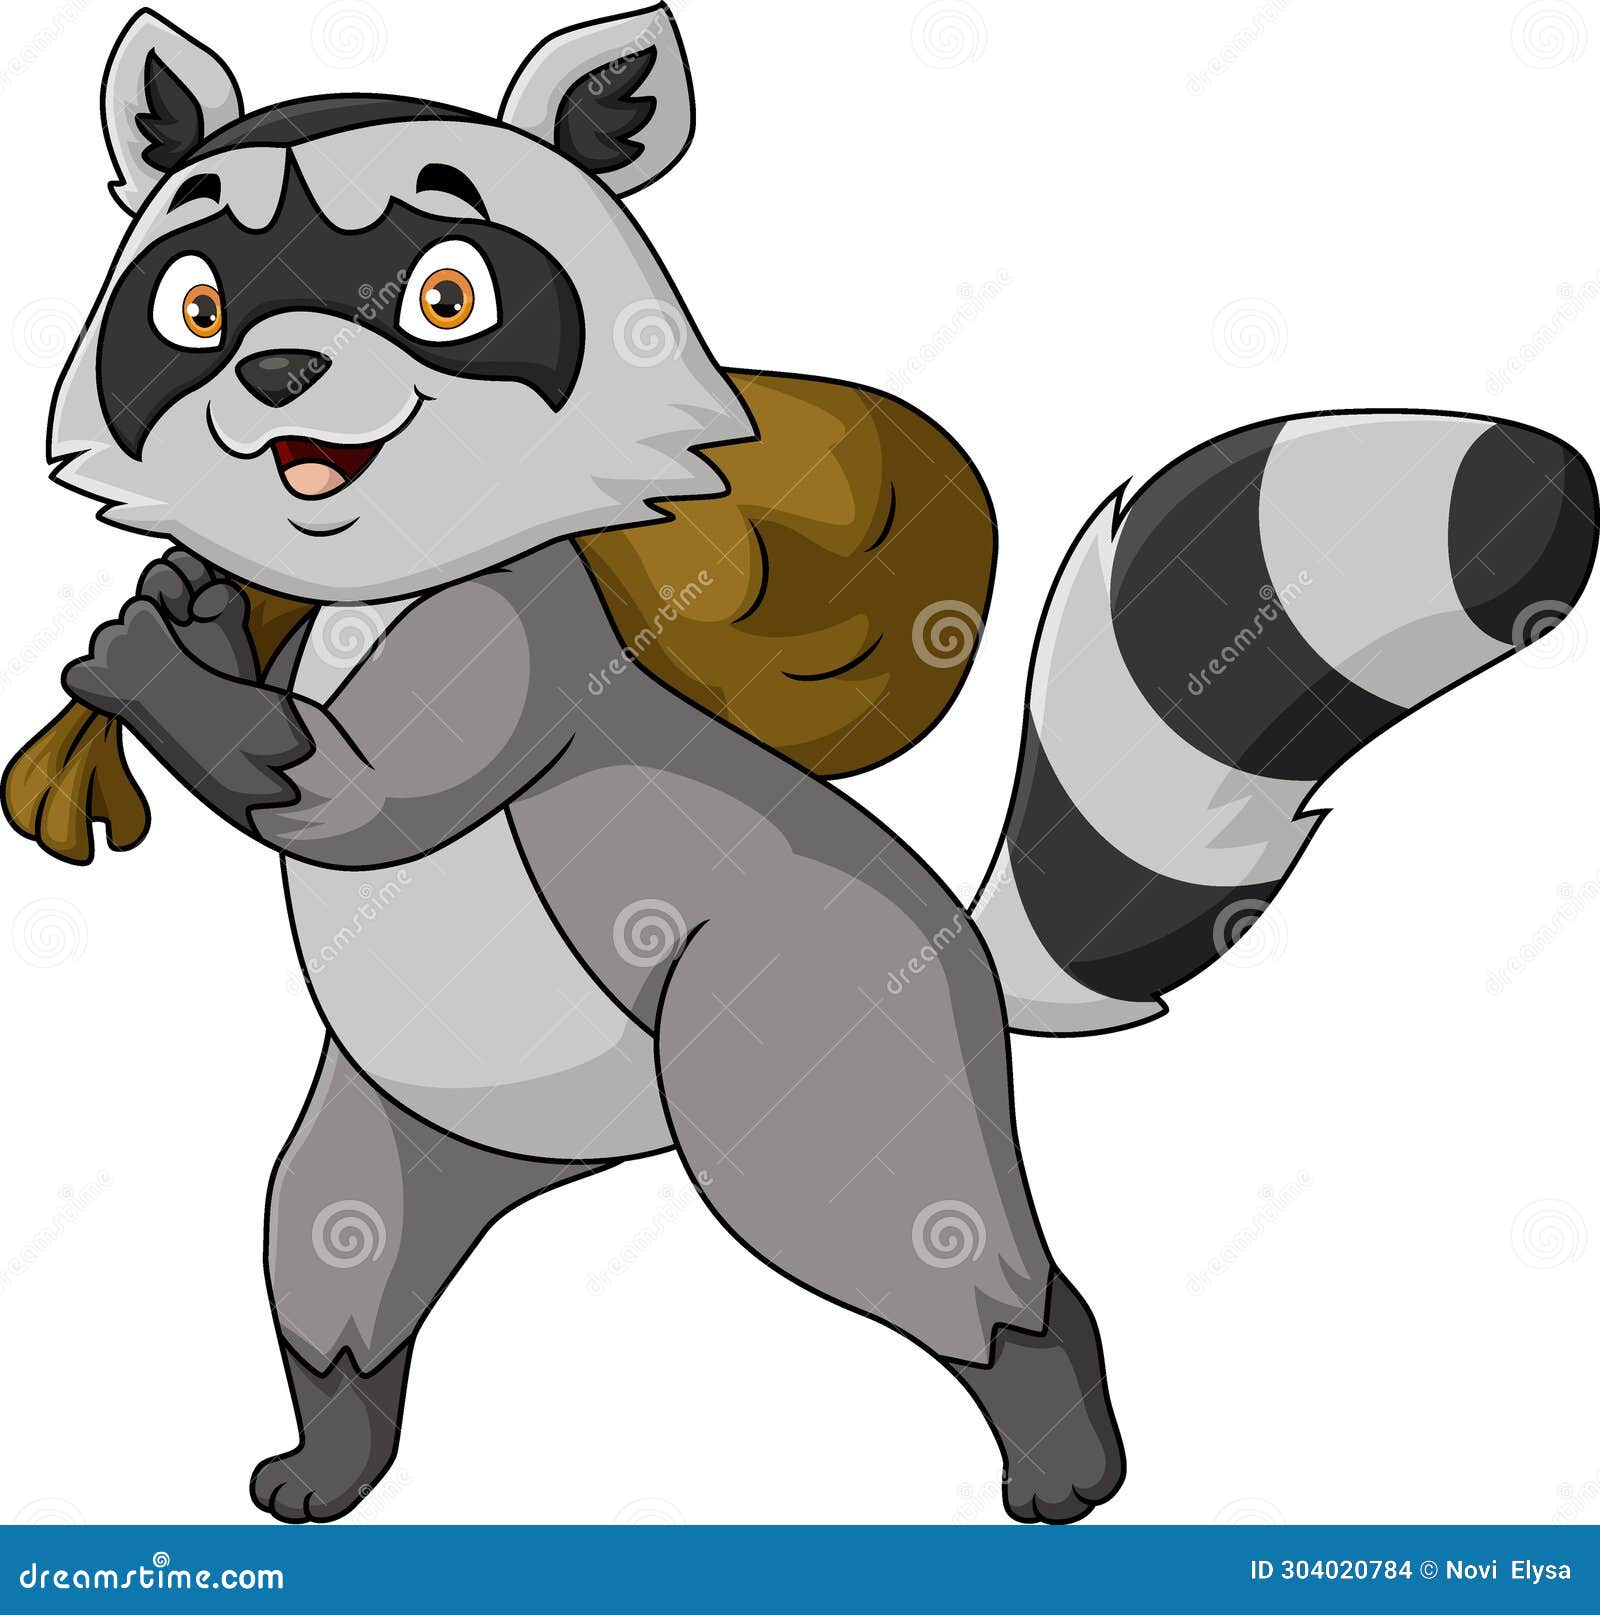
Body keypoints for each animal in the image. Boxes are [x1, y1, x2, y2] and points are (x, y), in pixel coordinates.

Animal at [43, 7, 1597, 1523]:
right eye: (193, 306)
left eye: (447, 296)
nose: (278, 372)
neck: (379, 590)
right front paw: (192, 617)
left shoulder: (519, 638)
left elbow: (363, 798)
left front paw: (169, 675)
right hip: (419, 1111)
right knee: (334, 1229)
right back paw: (337, 1434)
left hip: (803, 1014)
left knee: (877, 1215)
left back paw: (1052, 1415)